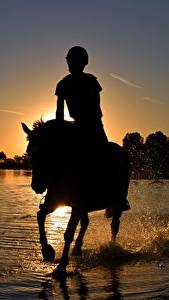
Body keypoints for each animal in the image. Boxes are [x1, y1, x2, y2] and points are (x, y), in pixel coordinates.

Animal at [21, 118, 130, 276]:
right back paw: (77, 249)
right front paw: (47, 251)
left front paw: (61, 266)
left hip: (117, 202)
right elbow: (40, 216)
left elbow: (68, 233)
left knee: (114, 225)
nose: (37, 186)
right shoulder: (55, 202)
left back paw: (112, 249)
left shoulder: (77, 206)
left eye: (47, 151)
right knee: (85, 223)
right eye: (29, 152)